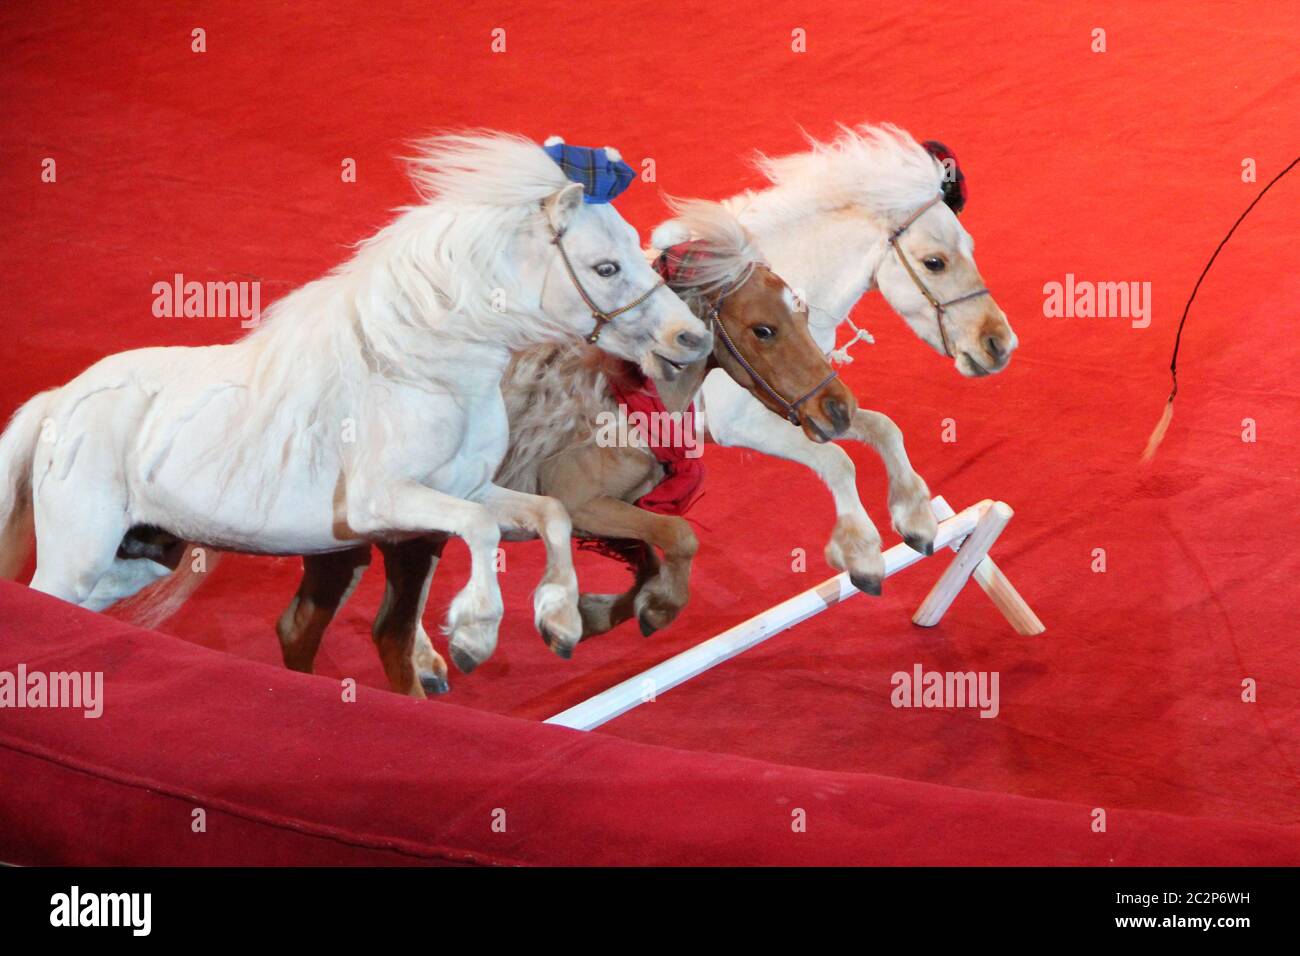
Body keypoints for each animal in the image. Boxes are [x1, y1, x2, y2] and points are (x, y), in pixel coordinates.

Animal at [0, 131, 711, 672]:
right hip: (78, 556)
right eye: (604, 268)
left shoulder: (474, 490)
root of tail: (59, 400)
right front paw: (475, 633)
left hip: (134, 559)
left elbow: (550, 515)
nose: (692, 338)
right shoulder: (385, 501)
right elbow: (482, 532)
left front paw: (559, 621)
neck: (422, 371)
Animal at [273, 199, 858, 696]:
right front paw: (655, 609)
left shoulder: (612, 511)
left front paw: (603, 613)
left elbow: (650, 558)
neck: (622, 396)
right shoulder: (583, 505)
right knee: (346, 629)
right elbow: (681, 536)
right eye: (763, 329)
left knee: (308, 626)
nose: (839, 409)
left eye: (805, 315)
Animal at [700, 122, 1019, 593]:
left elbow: (883, 429)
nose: (1000, 344)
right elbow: (838, 461)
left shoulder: (817, 408)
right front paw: (861, 554)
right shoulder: (739, 426)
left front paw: (916, 520)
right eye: (934, 262)